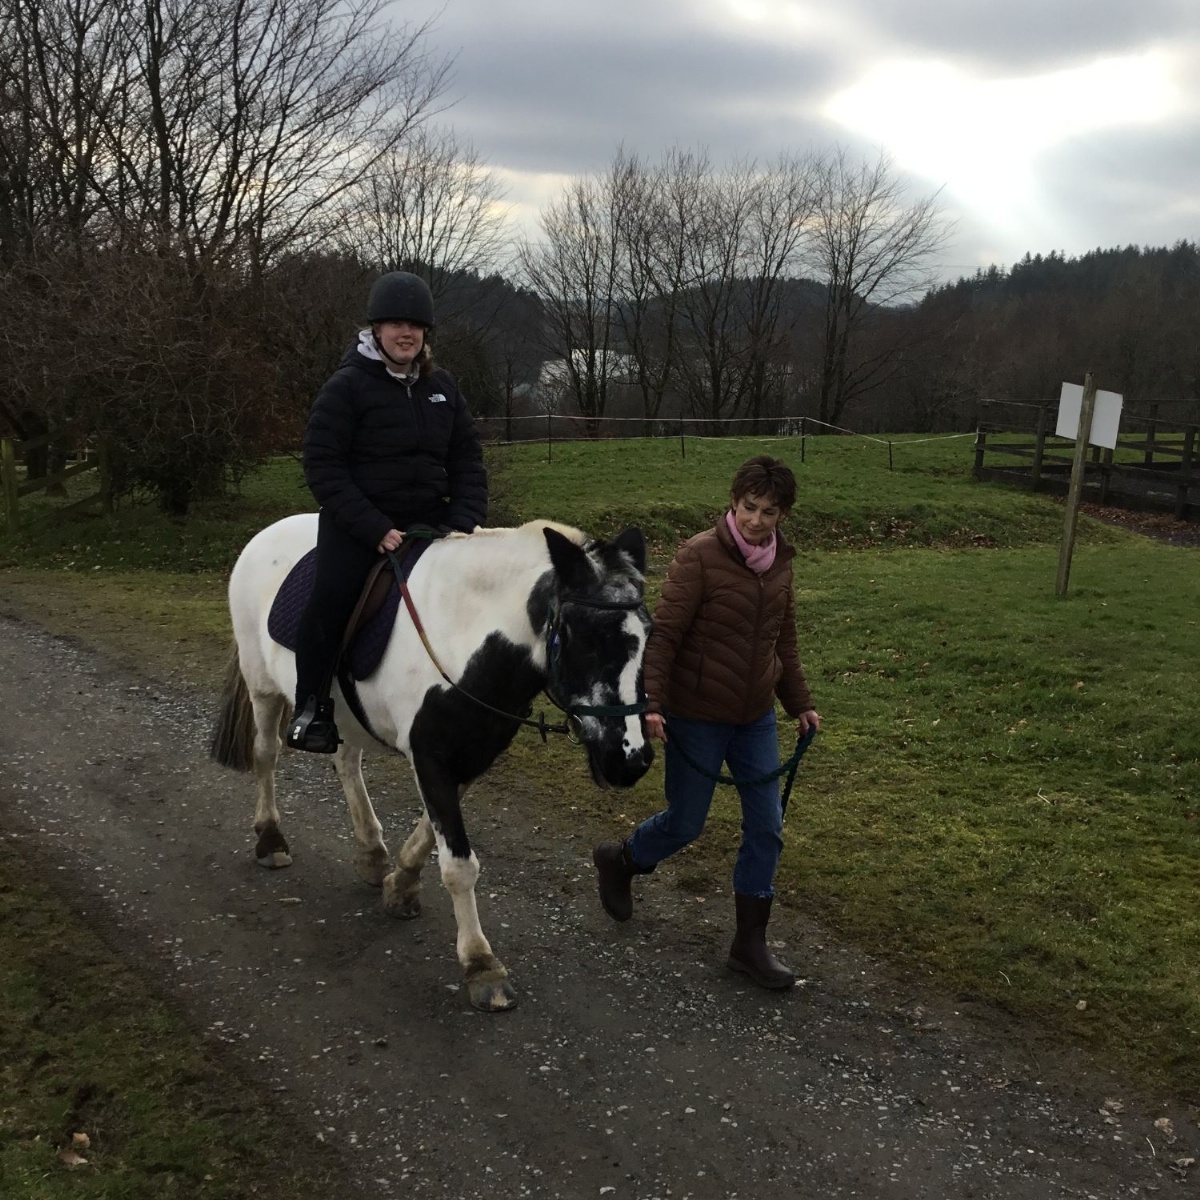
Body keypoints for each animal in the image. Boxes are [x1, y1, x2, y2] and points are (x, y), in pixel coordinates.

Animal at [209, 514, 654, 1011]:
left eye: (647, 635)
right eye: (585, 636)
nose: (631, 760)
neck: (465, 637)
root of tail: (268, 531)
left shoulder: (469, 754)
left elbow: (428, 833)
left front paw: (400, 884)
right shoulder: (431, 755)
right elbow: (459, 865)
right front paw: (481, 964)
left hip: (342, 712)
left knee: (346, 761)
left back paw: (370, 851)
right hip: (262, 686)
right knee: (265, 755)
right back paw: (270, 839)